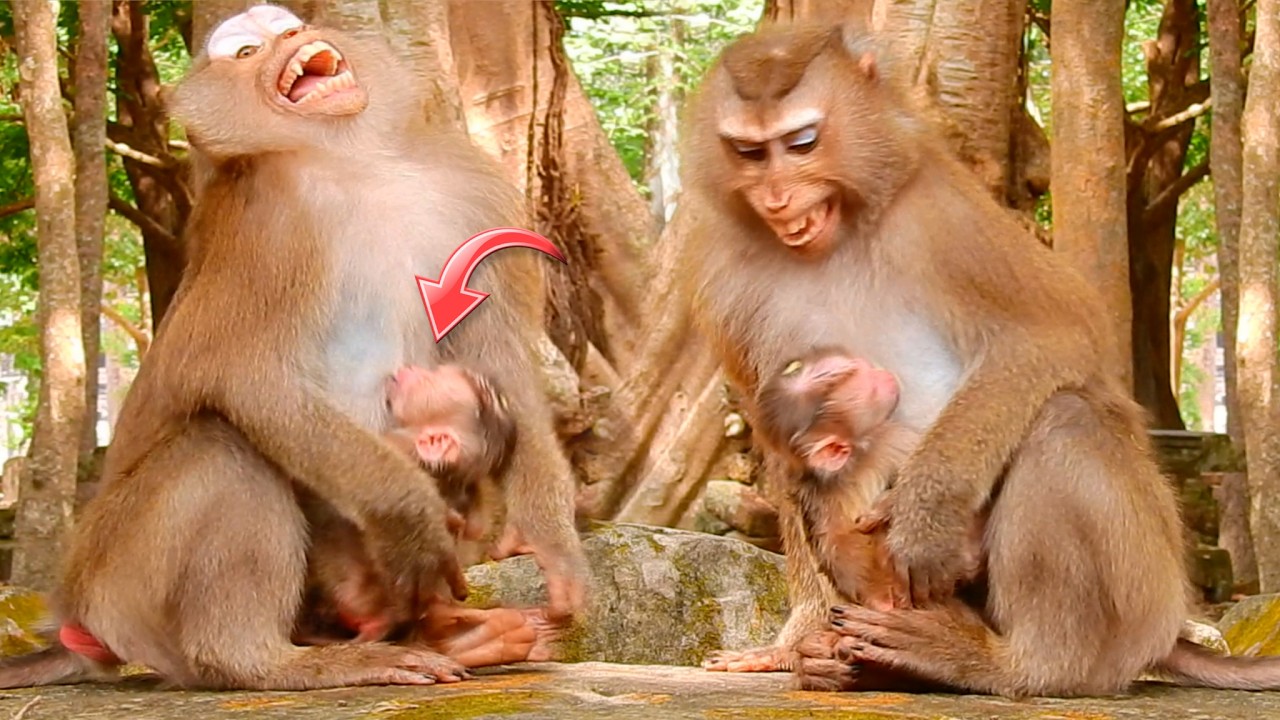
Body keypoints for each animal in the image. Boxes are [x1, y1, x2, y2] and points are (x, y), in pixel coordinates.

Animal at [686, 21, 1280, 696]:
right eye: (749, 154)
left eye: (802, 142)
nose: (779, 199)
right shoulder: (719, 267)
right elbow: (783, 451)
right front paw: (796, 648)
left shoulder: (942, 210)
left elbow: (1051, 332)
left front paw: (926, 515)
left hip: (1144, 592)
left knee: (1066, 418)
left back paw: (1027, 663)